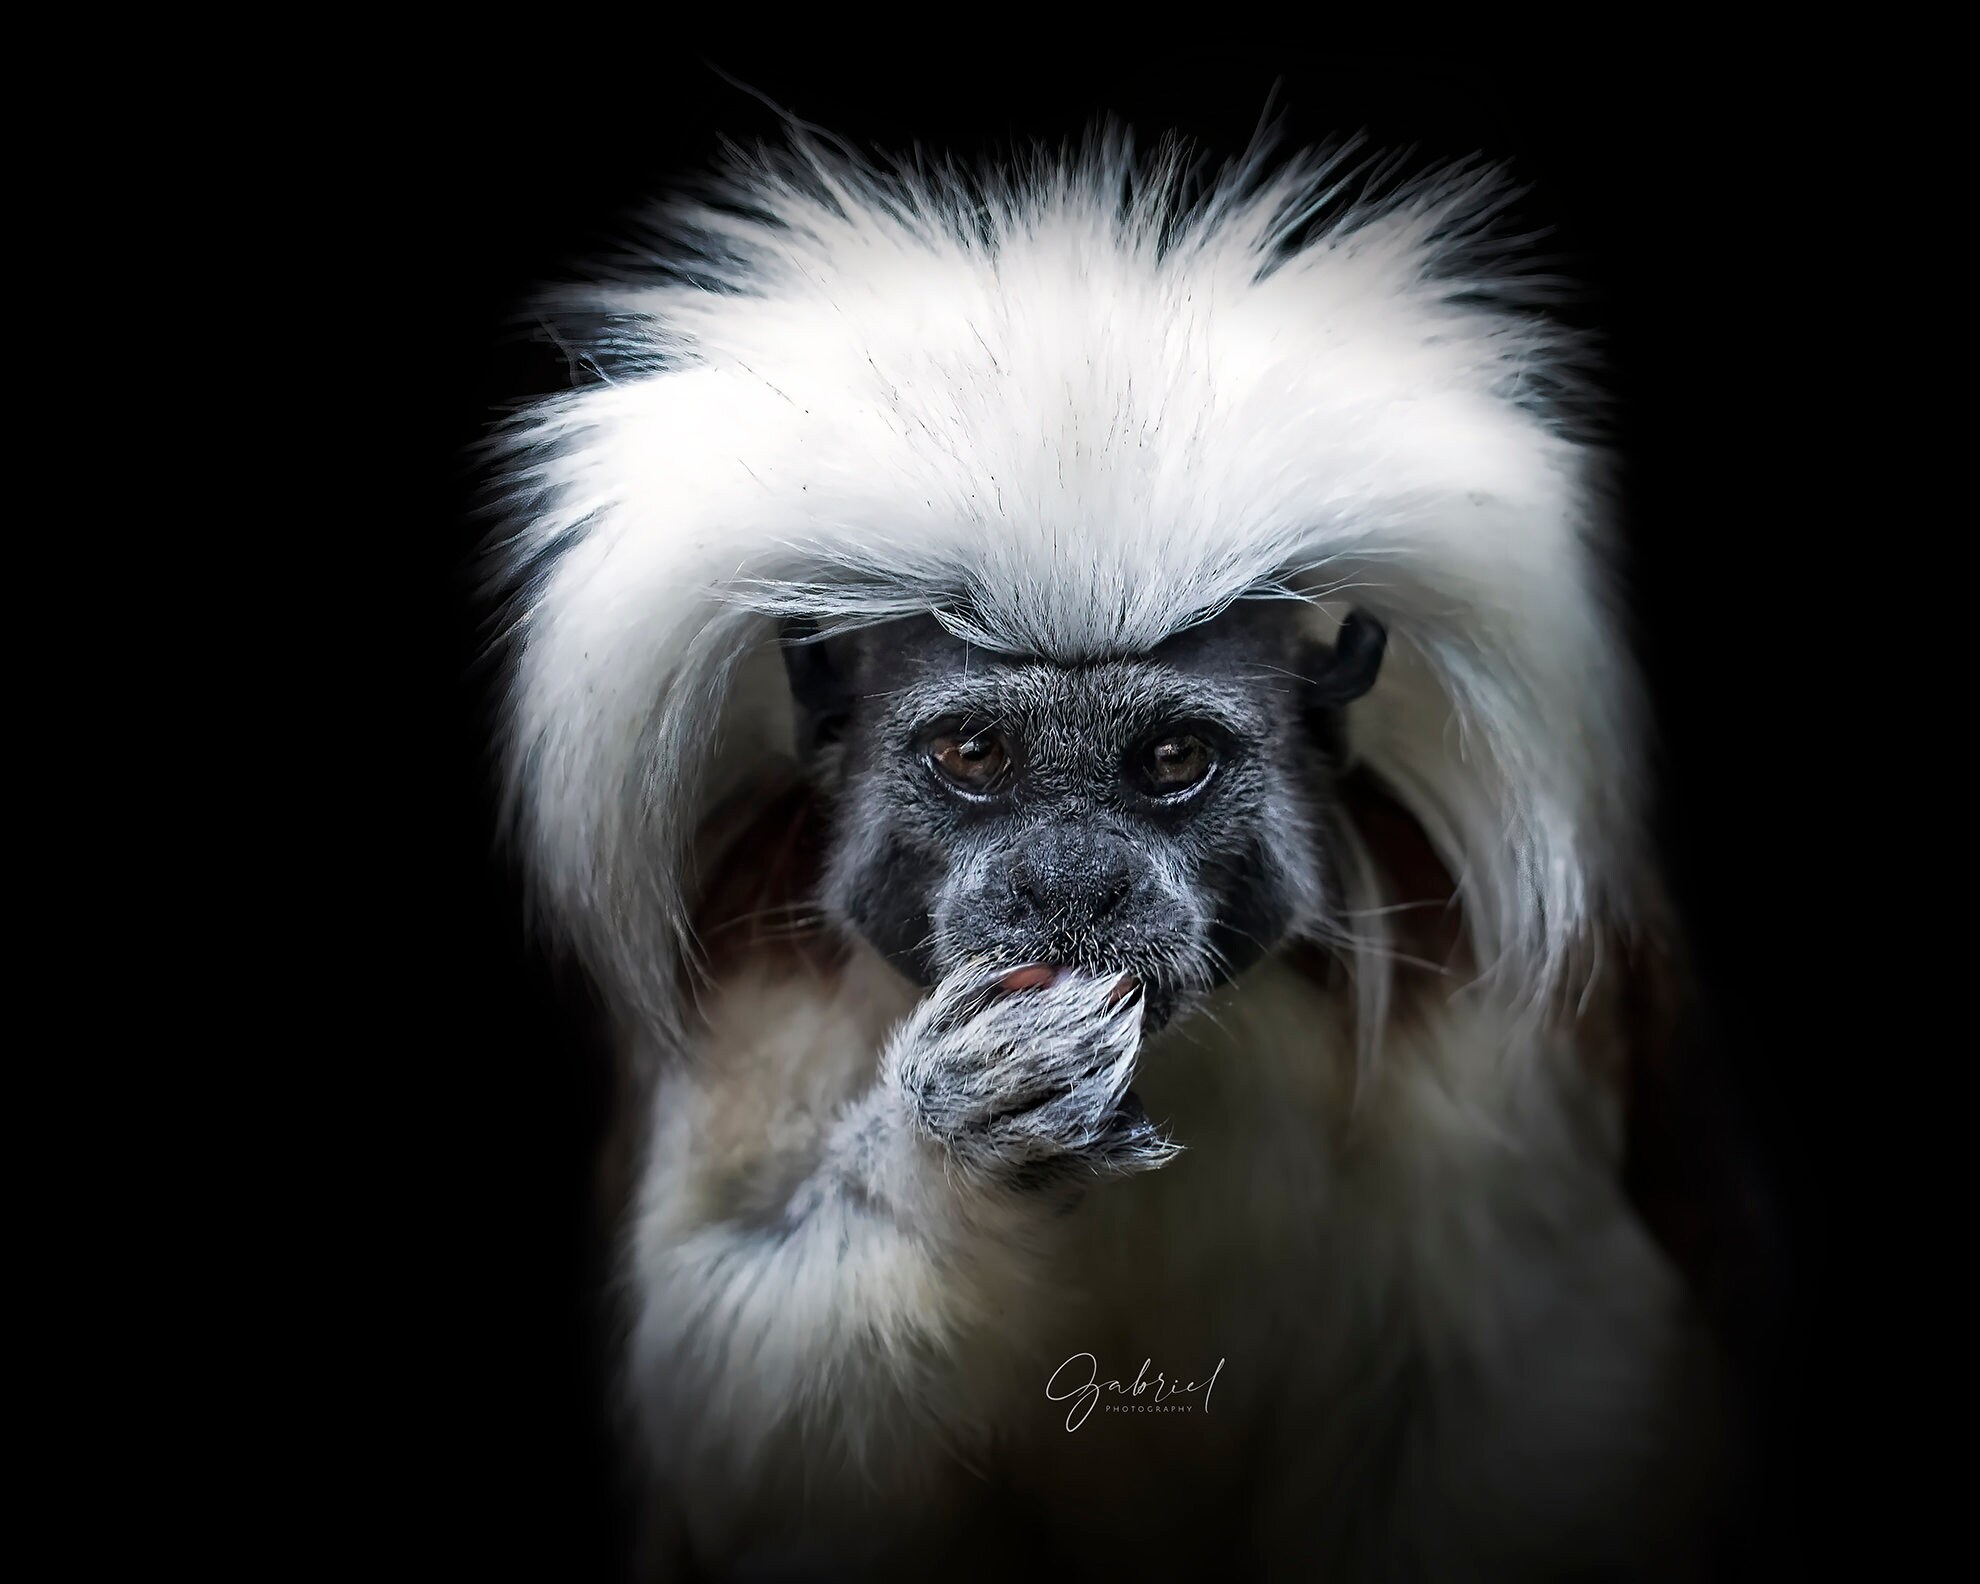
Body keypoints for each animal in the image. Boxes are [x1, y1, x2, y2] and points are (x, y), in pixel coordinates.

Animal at [486, 126, 1727, 1581]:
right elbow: (752, 1406)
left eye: (1174, 760)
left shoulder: (1486, 1028)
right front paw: (962, 1148)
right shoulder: (756, 997)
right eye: (973, 755)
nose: (1071, 887)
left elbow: (1530, 1395)